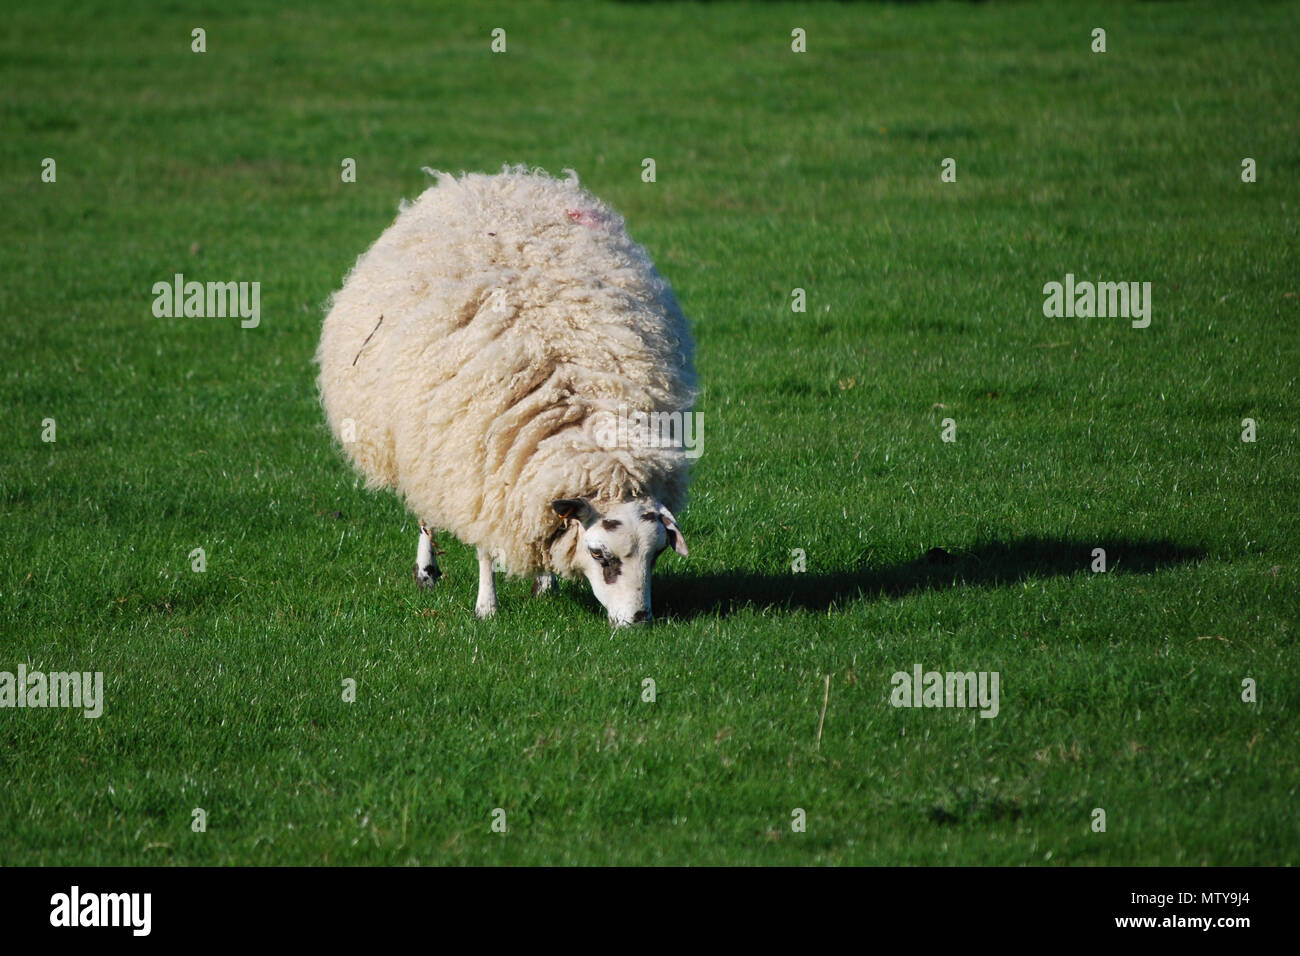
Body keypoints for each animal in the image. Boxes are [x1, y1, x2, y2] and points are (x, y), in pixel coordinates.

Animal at [315, 166, 695, 624]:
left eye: (657, 554)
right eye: (598, 553)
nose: (639, 621)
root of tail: (486, 180)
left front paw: (544, 584)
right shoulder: (480, 469)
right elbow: (484, 546)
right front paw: (486, 607)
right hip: (420, 441)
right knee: (426, 511)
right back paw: (427, 571)